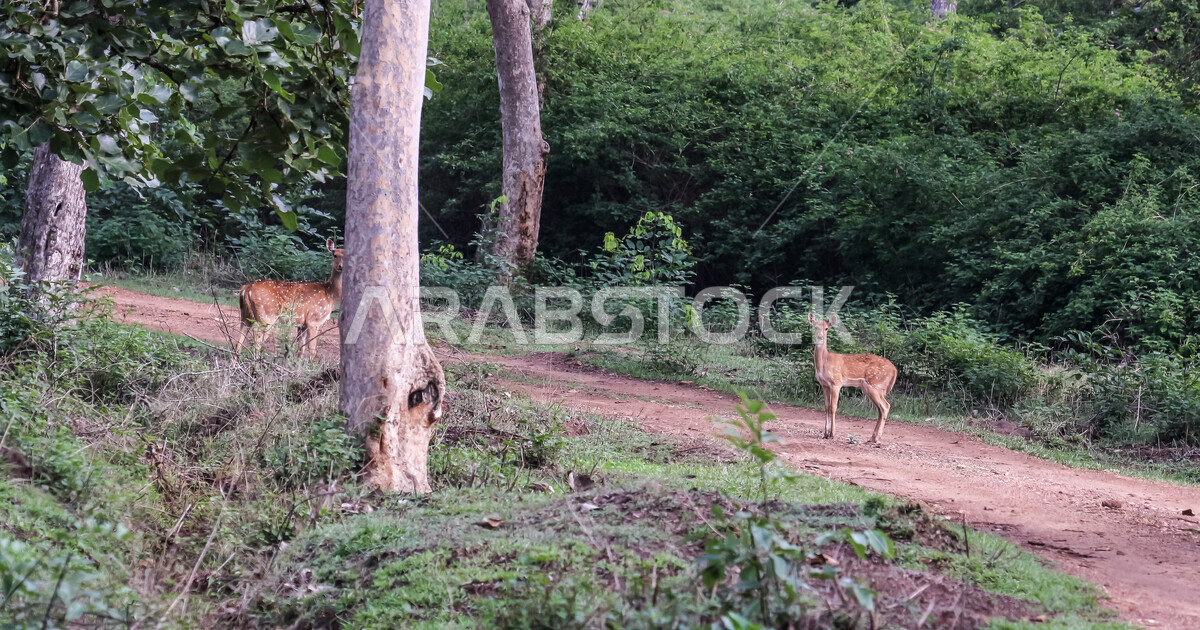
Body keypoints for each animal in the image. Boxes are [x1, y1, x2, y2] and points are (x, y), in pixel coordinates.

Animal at [808, 313, 898, 443]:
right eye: (815, 327)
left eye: (826, 328)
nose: (820, 337)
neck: (825, 362)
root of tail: (895, 370)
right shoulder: (824, 384)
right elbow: (826, 407)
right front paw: (825, 434)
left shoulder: (837, 382)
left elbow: (833, 407)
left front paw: (832, 434)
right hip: (870, 388)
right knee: (881, 409)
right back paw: (873, 437)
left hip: (875, 384)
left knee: (885, 406)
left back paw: (876, 438)